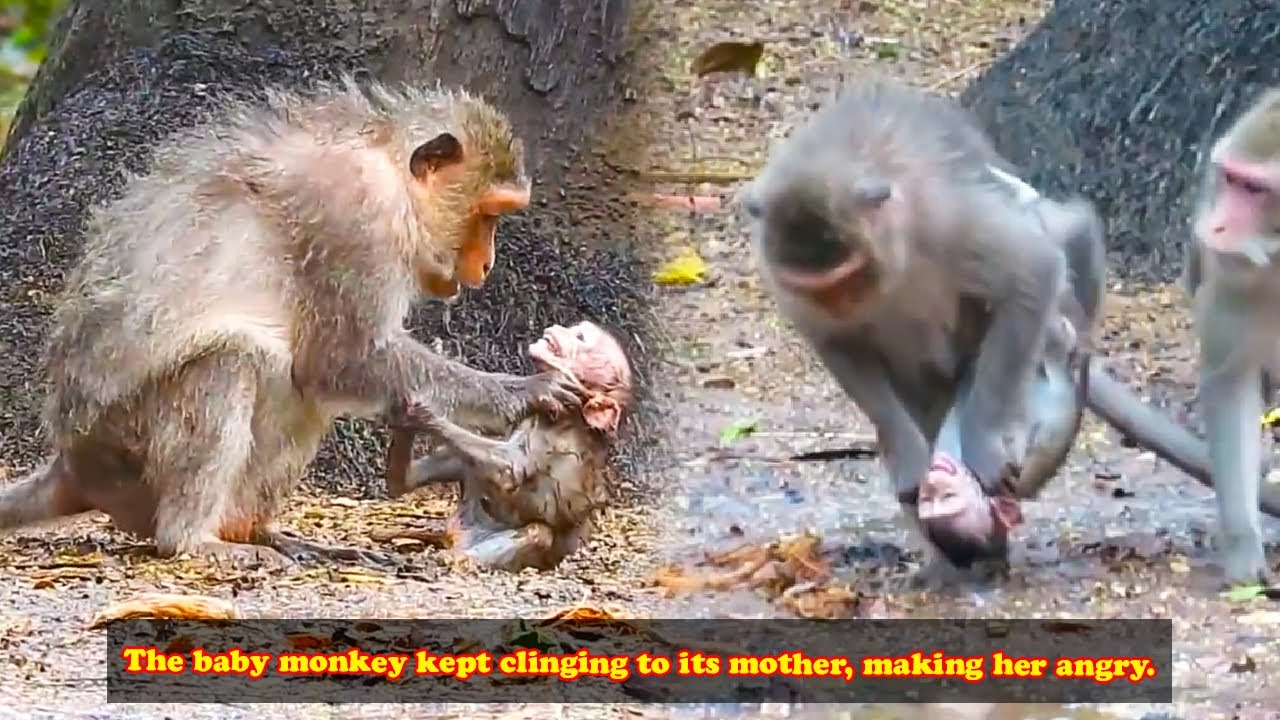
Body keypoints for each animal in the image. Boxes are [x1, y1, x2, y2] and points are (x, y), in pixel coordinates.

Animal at [0, 75, 587, 569]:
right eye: (488, 214)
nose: (487, 265)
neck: (390, 166)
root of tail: (74, 464)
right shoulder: (356, 218)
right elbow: (344, 359)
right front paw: (522, 392)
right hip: (125, 449)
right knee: (234, 360)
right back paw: (192, 538)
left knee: (298, 392)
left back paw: (261, 531)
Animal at [385, 321, 632, 572]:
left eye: (580, 337)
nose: (557, 329)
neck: (566, 414)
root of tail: (461, 540)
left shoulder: (554, 436)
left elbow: (510, 469)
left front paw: (420, 413)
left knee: (539, 532)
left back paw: (456, 559)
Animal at [742, 78, 1112, 582]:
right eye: (818, 288)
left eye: (846, 277)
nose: (840, 304)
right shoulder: (782, 278)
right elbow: (836, 343)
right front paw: (908, 455)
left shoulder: (948, 220)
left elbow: (1030, 275)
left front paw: (983, 446)